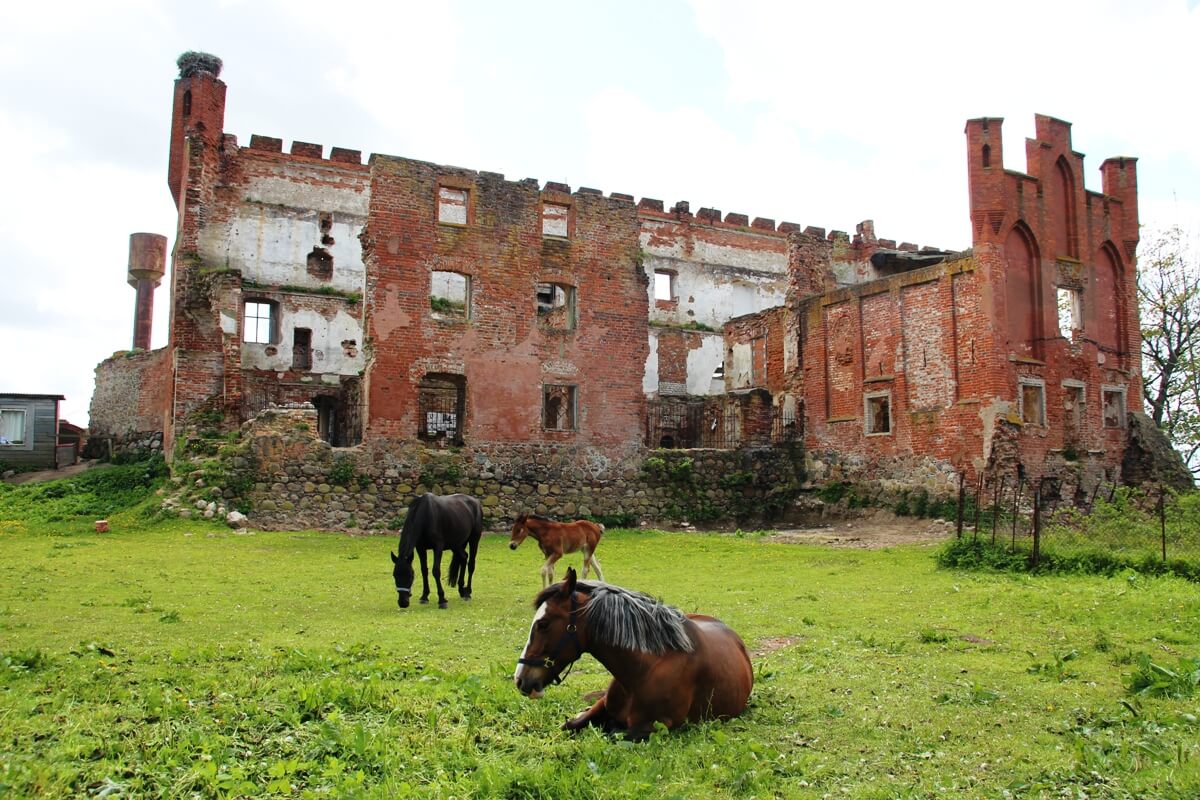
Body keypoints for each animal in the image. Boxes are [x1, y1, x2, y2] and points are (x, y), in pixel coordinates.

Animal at [513, 566, 753, 743]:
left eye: (543, 624)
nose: (520, 679)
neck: (645, 668)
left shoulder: (649, 729)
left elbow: (613, 734)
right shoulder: (603, 706)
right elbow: (570, 725)